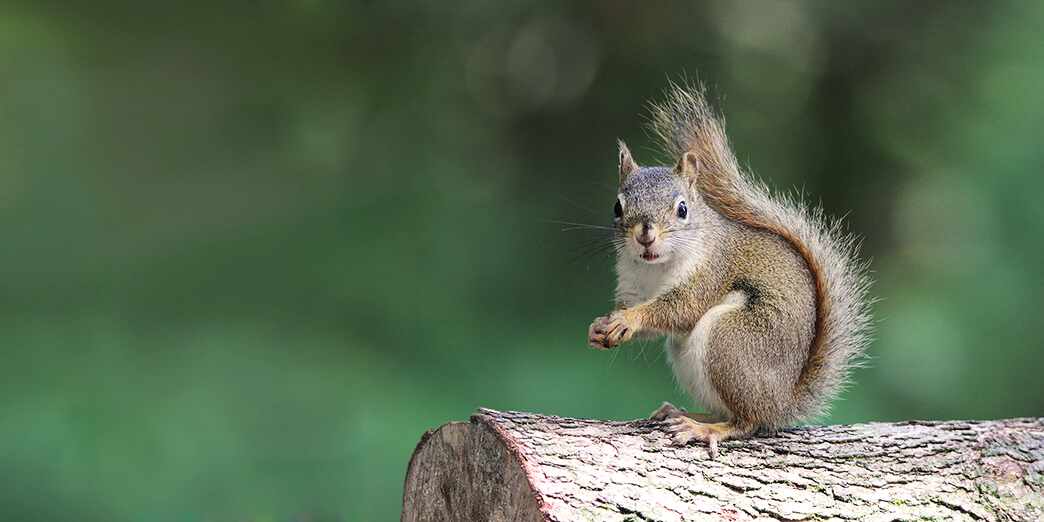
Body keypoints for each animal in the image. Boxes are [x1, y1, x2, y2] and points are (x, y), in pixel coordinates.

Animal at [587, 83, 873, 457]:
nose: (645, 235)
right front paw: (600, 326)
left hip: (730, 342)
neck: (656, 267)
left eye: (682, 209)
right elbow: (636, 311)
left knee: (747, 421)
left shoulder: (712, 272)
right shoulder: (633, 284)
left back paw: (703, 429)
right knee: (725, 410)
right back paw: (681, 414)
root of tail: (782, 402)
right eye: (617, 207)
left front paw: (628, 320)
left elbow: (680, 309)